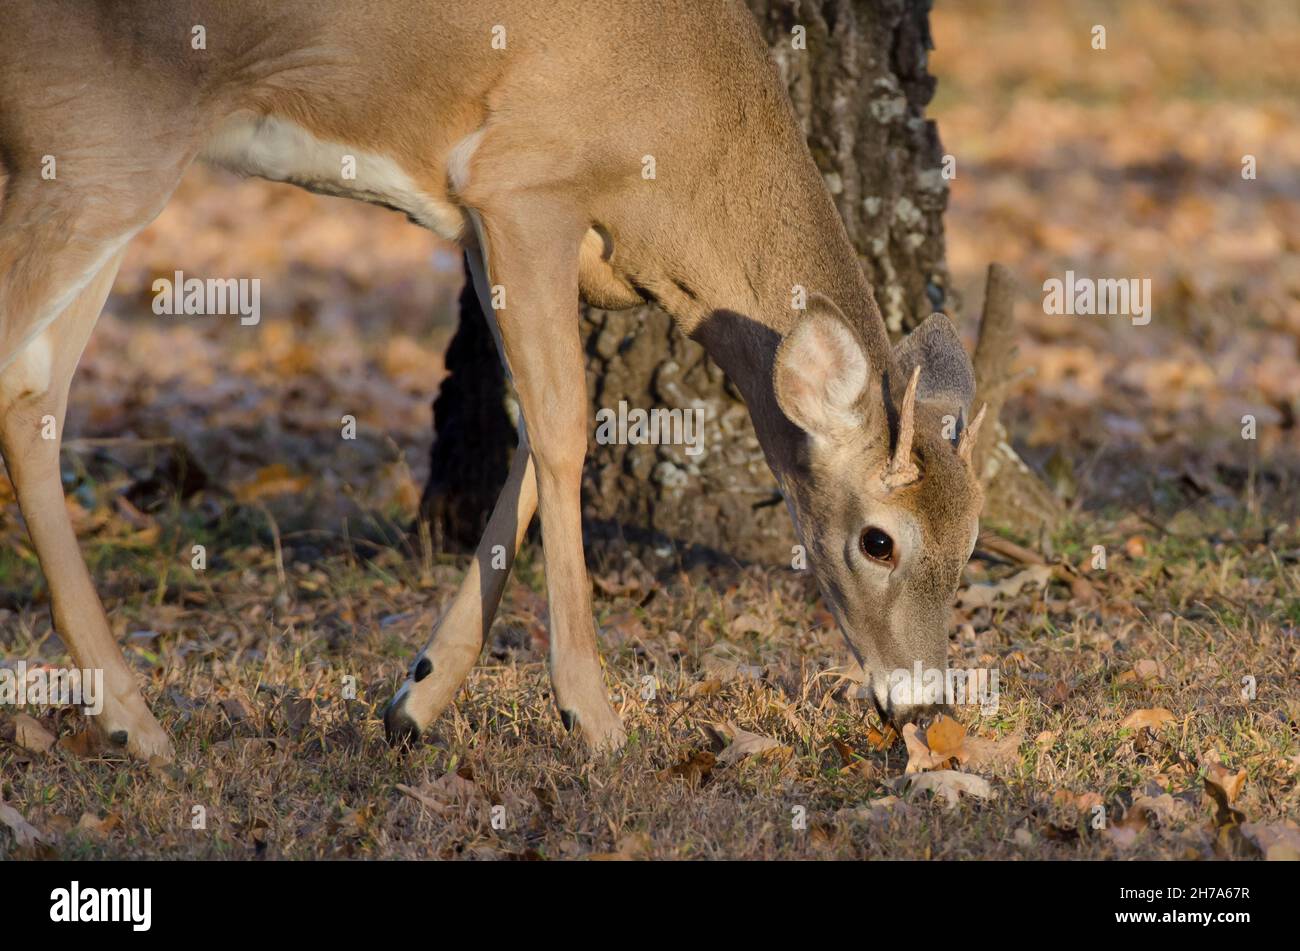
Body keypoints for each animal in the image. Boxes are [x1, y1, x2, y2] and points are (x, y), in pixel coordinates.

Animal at [0, 0, 985, 763]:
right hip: (96, 142)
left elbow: (529, 426)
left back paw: (133, 725)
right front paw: (592, 718)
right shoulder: (523, 185)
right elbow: (564, 424)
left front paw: (416, 699)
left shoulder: (488, 226)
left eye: (971, 542)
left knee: (37, 401)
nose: (925, 703)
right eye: (879, 541)